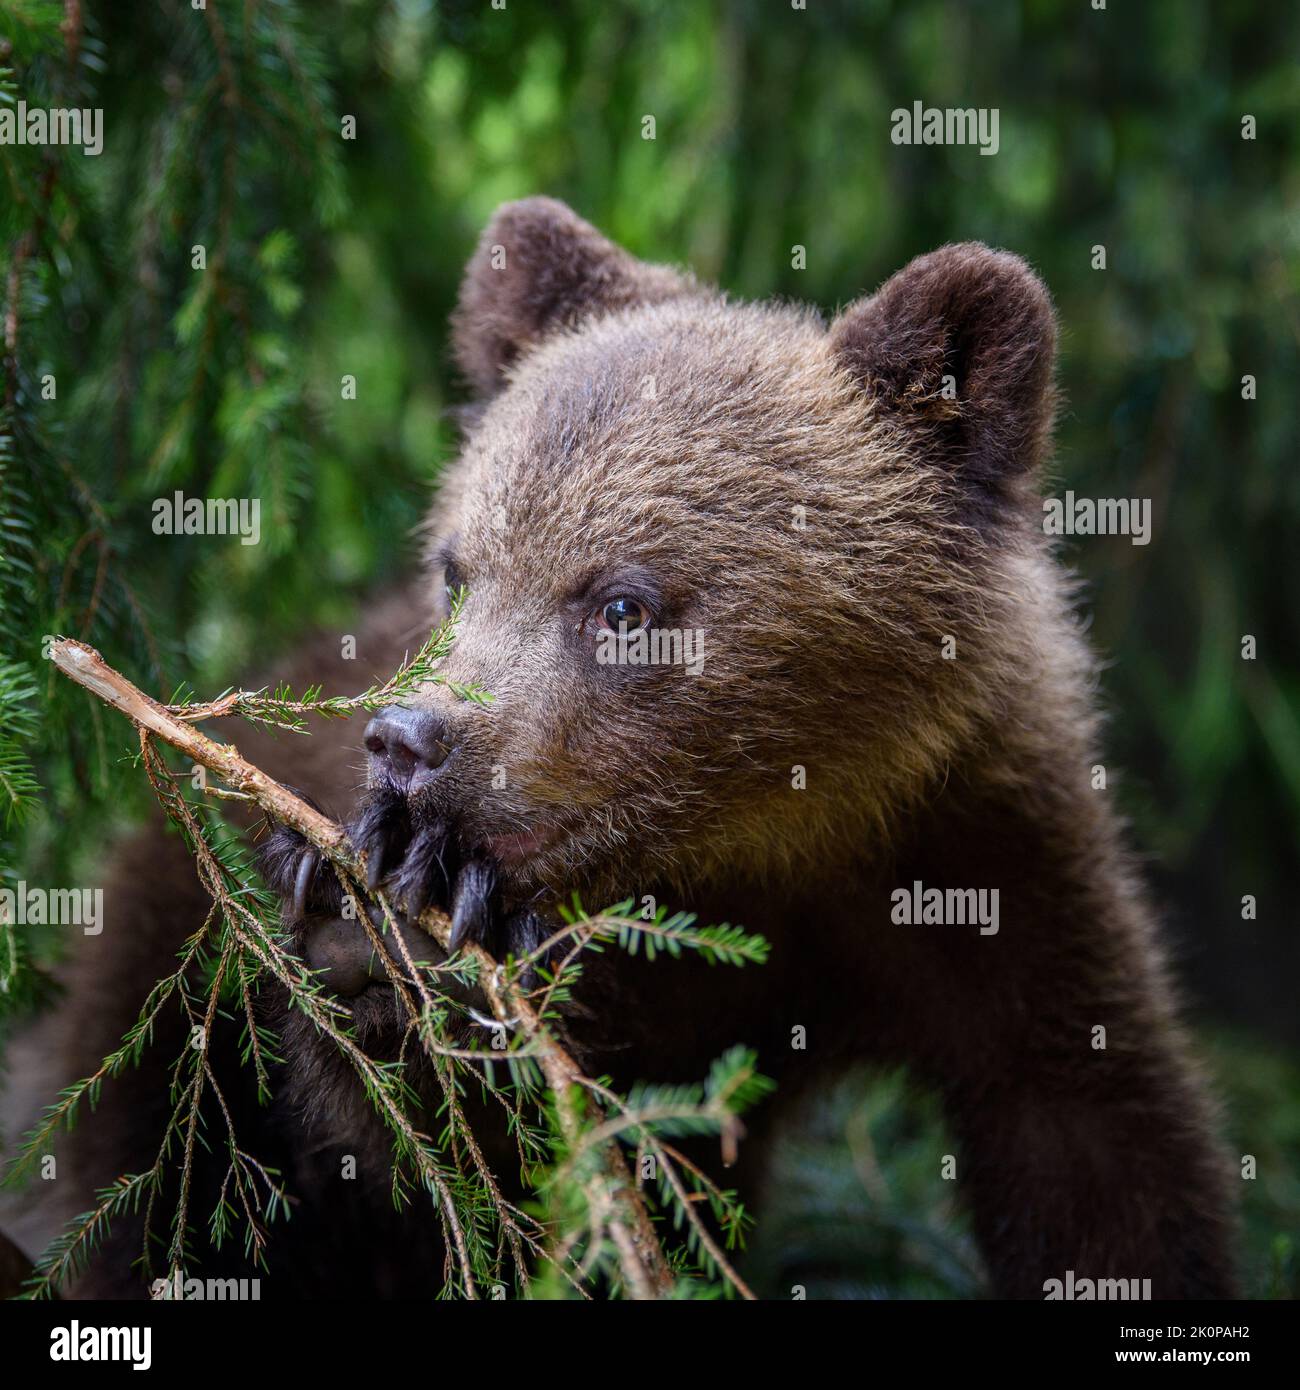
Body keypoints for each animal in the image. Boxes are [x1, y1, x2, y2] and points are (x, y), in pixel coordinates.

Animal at [1, 198, 1236, 1300]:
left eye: (623, 604)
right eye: (459, 569)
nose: (409, 742)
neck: (766, 845)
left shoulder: (982, 860)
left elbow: (1099, 1146)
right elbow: (451, 1173)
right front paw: (377, 916)